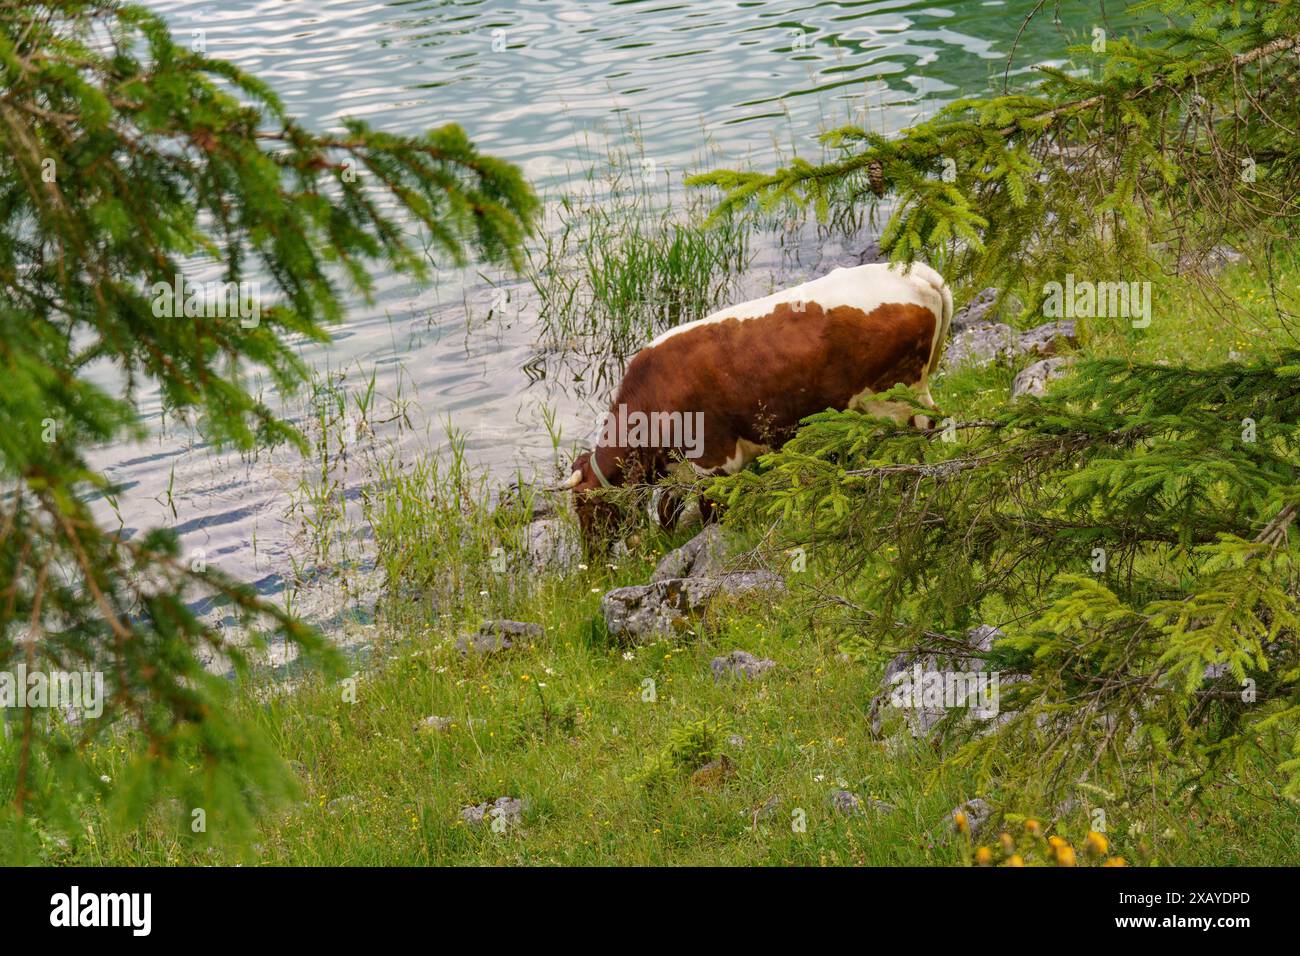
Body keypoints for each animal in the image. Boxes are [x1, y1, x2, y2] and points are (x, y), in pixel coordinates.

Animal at [561, 261, 953, 550]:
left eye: (587, 510)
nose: (593, 561)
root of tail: (916, 271)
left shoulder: (715, 461)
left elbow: (711, 511)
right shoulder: (680, 469)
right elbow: (668, 508)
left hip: (895, 396)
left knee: (920, 433)